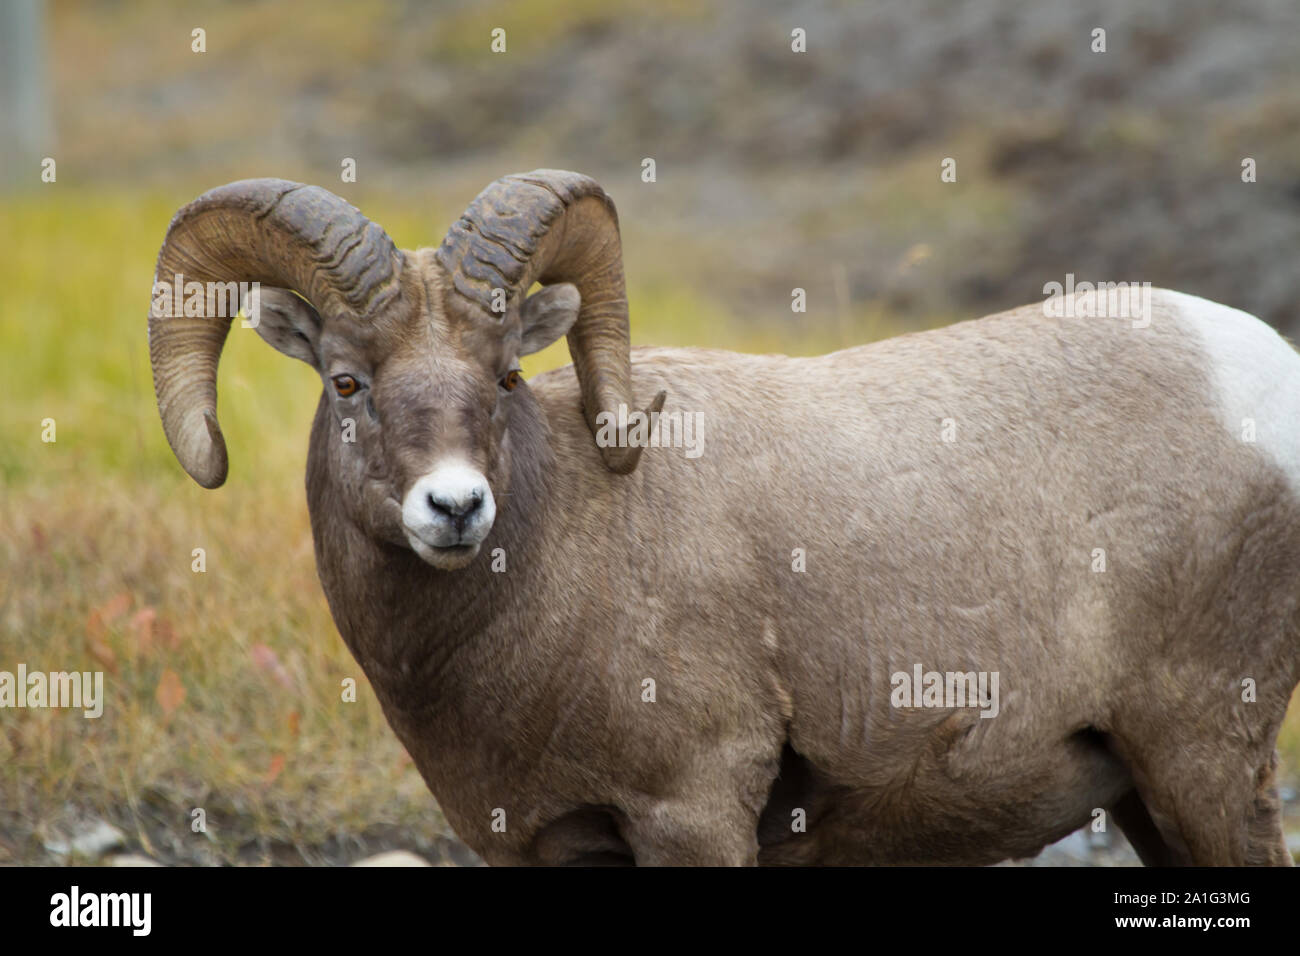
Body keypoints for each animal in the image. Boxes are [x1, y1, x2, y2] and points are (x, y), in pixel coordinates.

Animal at [147, 169, 1300, 866]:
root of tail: (1264, 375)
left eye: (504, 373)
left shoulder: (691, 811)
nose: (456, 506)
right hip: (1146, 790)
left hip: (1200, 759)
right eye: (346, 382)